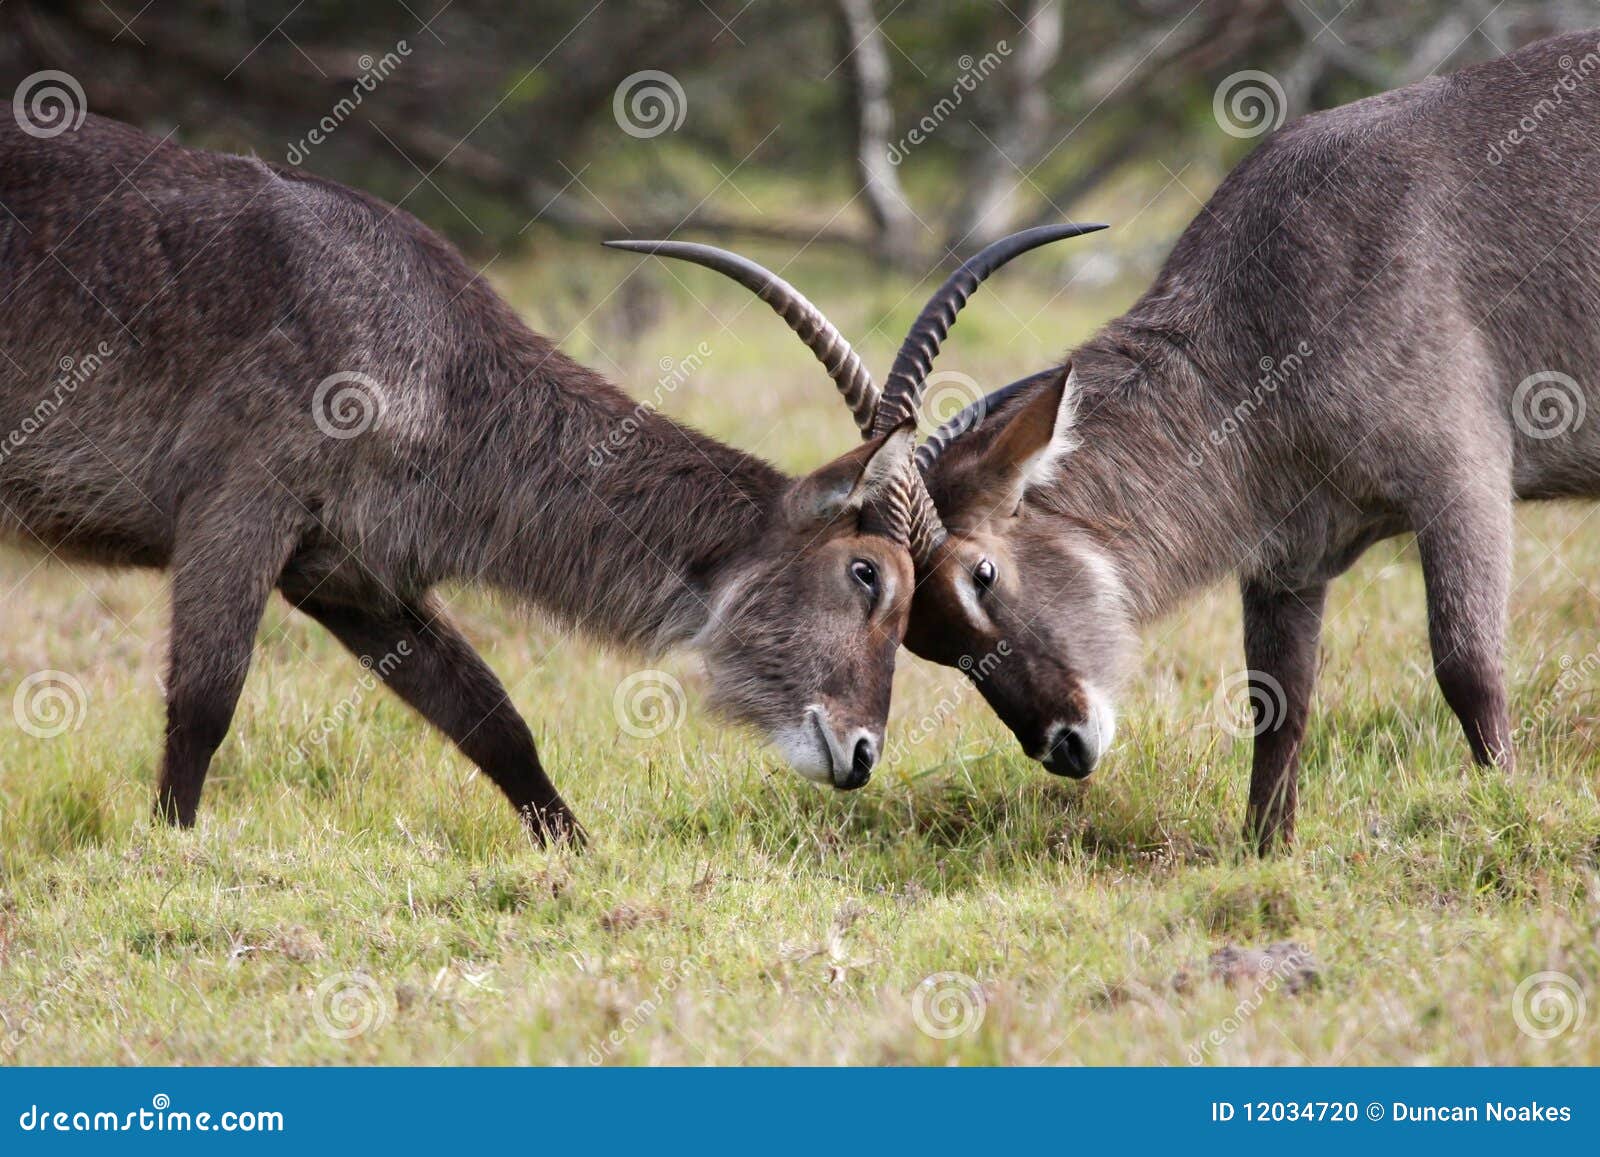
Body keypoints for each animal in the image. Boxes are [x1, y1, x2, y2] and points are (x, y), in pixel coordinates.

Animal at [0, 113, 939, 843]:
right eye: (867, 573)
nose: (864, 754)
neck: (441, 368)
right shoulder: (238, 513)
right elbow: (202, 707)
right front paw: (172, 859)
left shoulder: (352, 578)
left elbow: (494, 721)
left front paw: (577, 859)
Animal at [675, 30, 1600, 849]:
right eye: (928, 640)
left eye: (984, 573)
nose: (1064, 746)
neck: (1264, 320)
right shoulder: (1289, 556)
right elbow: (1279, 702)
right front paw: (1264, 853)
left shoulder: (1461, 484)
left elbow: (1467, 666)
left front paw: (1510, 816)